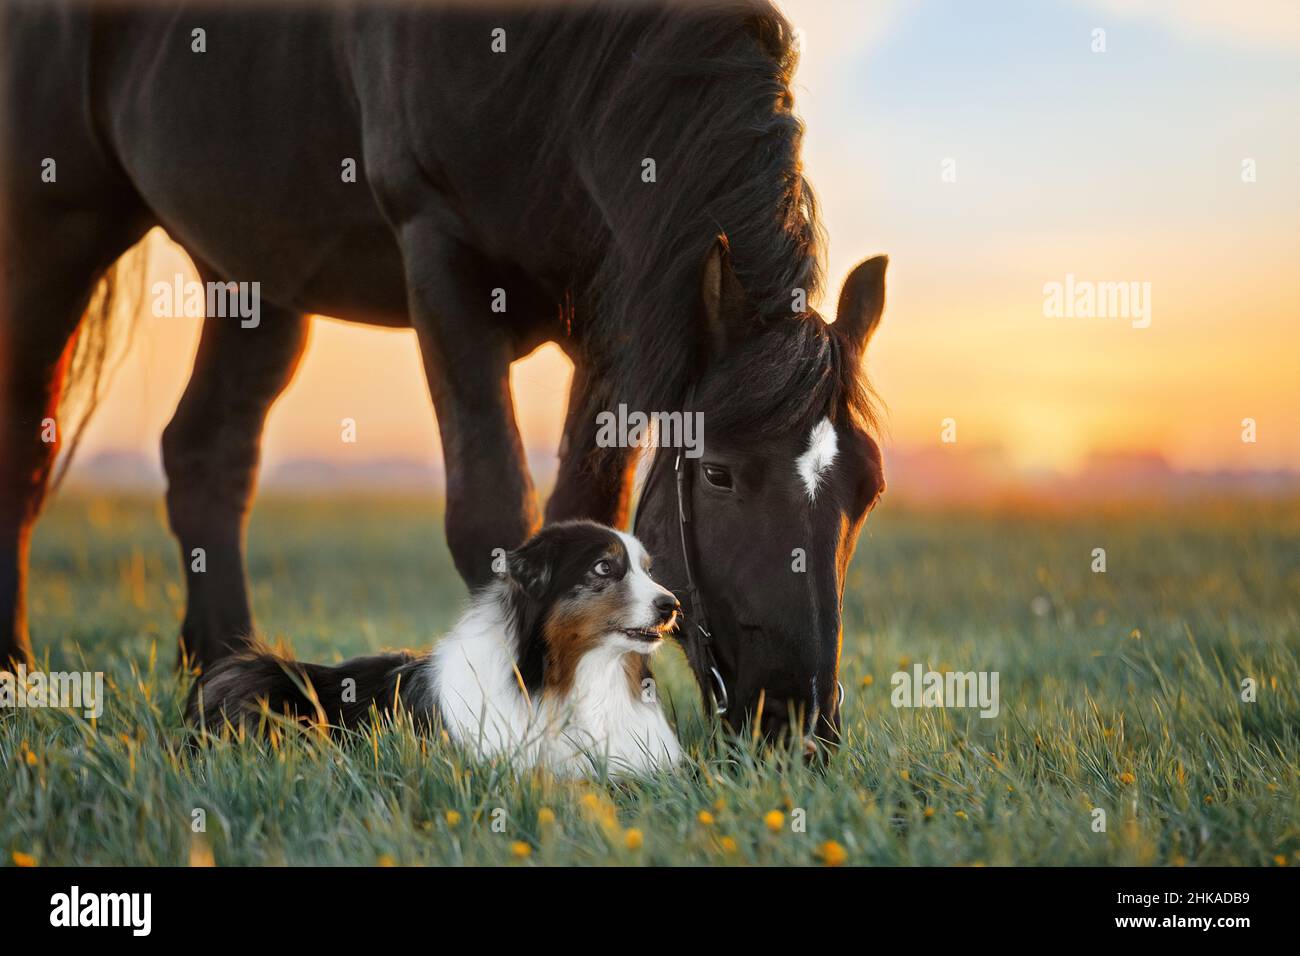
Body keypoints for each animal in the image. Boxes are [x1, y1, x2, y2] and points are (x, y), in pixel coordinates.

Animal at [0, 0, 887, 749]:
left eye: (870, 489)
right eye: (718, 474)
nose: (800, 725)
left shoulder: (616, 307)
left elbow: (587, 511)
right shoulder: (439, 253)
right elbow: (493, 517)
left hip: (254, 276)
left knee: (206, 454)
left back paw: (222, 670)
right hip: (55, 224)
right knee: (30, 448)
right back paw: (19, 671)